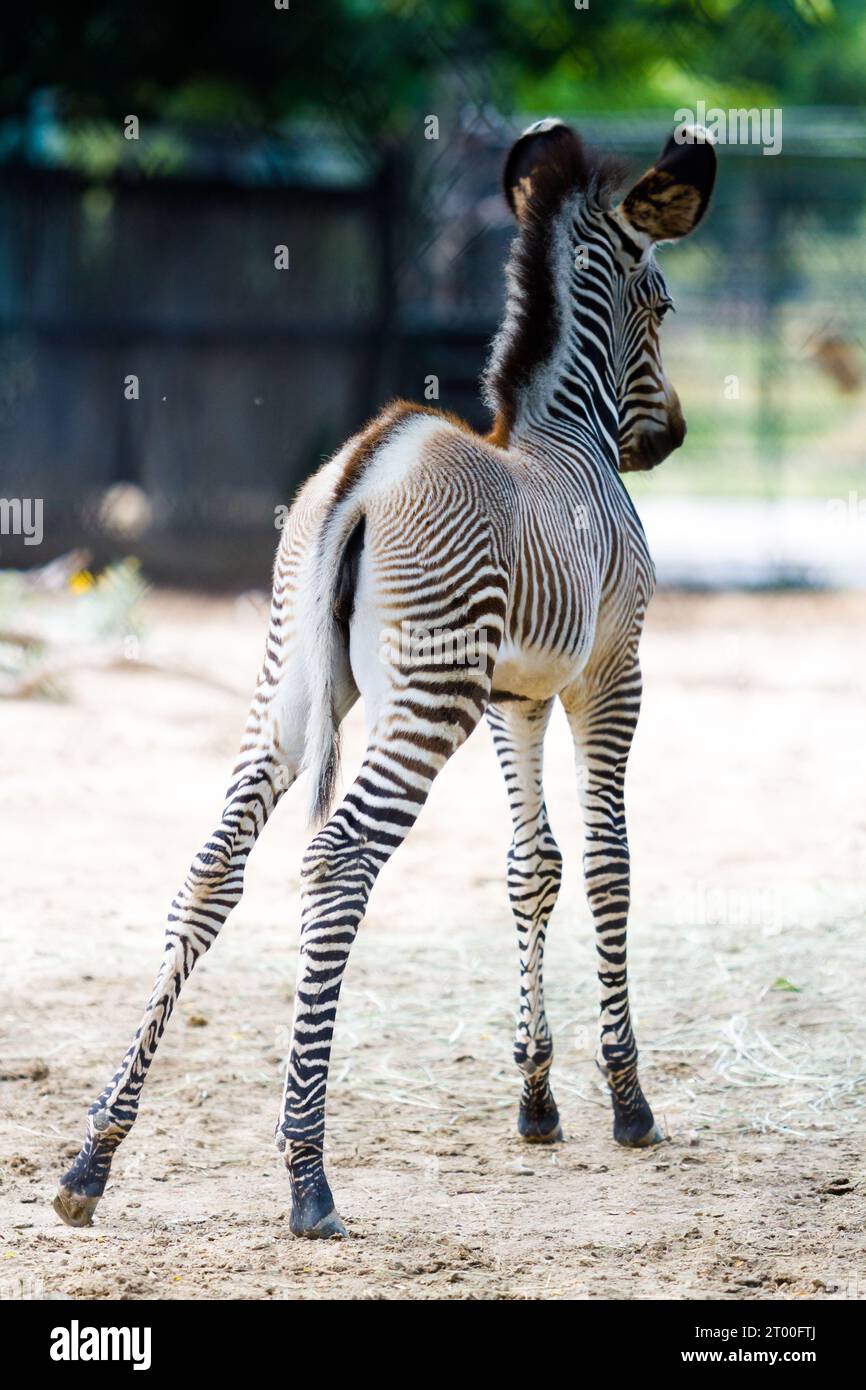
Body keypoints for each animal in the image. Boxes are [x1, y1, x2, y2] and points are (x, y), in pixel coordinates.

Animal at [54, 119, 716, 1239]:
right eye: (661, 302)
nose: (668, 438)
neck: (565, 433)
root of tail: (366, 470)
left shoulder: (514, 697)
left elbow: (530, 865)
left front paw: (536, 1096)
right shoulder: (609, 674)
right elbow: (606, 862)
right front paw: (627, 1101)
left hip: (287, 687)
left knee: (211, 865)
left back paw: (95, 1156)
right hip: (421, 700)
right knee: (337, 861)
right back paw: (306, 1174)